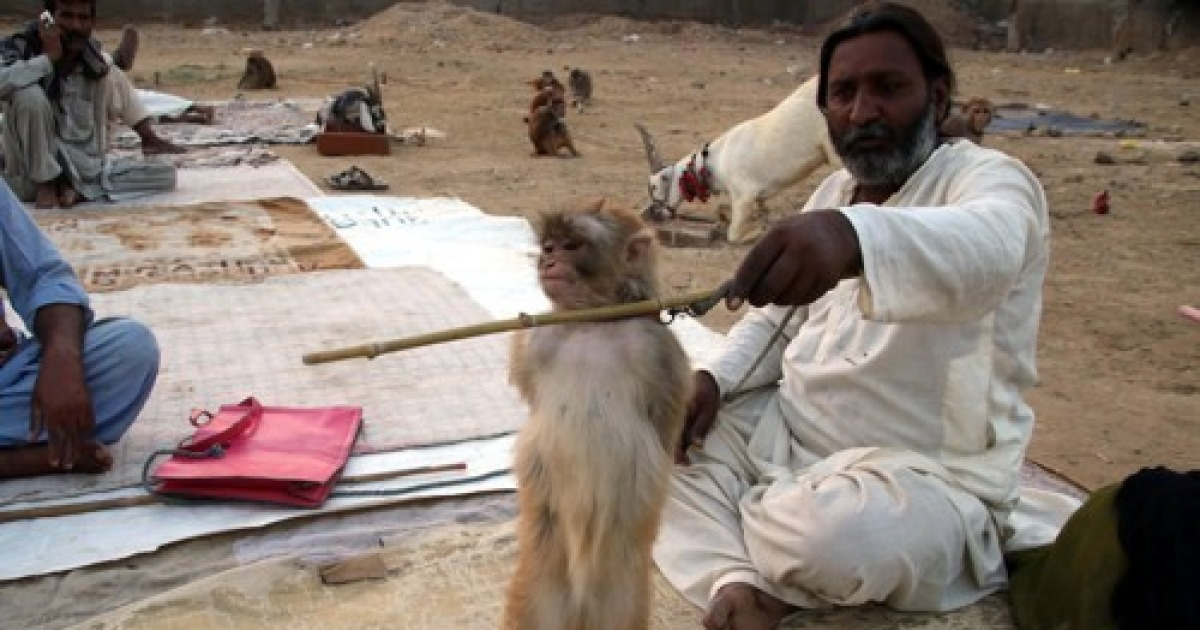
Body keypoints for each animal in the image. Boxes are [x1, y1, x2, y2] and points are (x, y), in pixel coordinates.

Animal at [503, 199, 692, 630]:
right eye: (550, 246)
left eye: (572, 246)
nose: (547, 261)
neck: (591, 321)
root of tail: (582, 603)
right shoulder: (533, 341)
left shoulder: (660, 350)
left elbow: (667, 421)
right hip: (543, 577)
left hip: (621, 588)